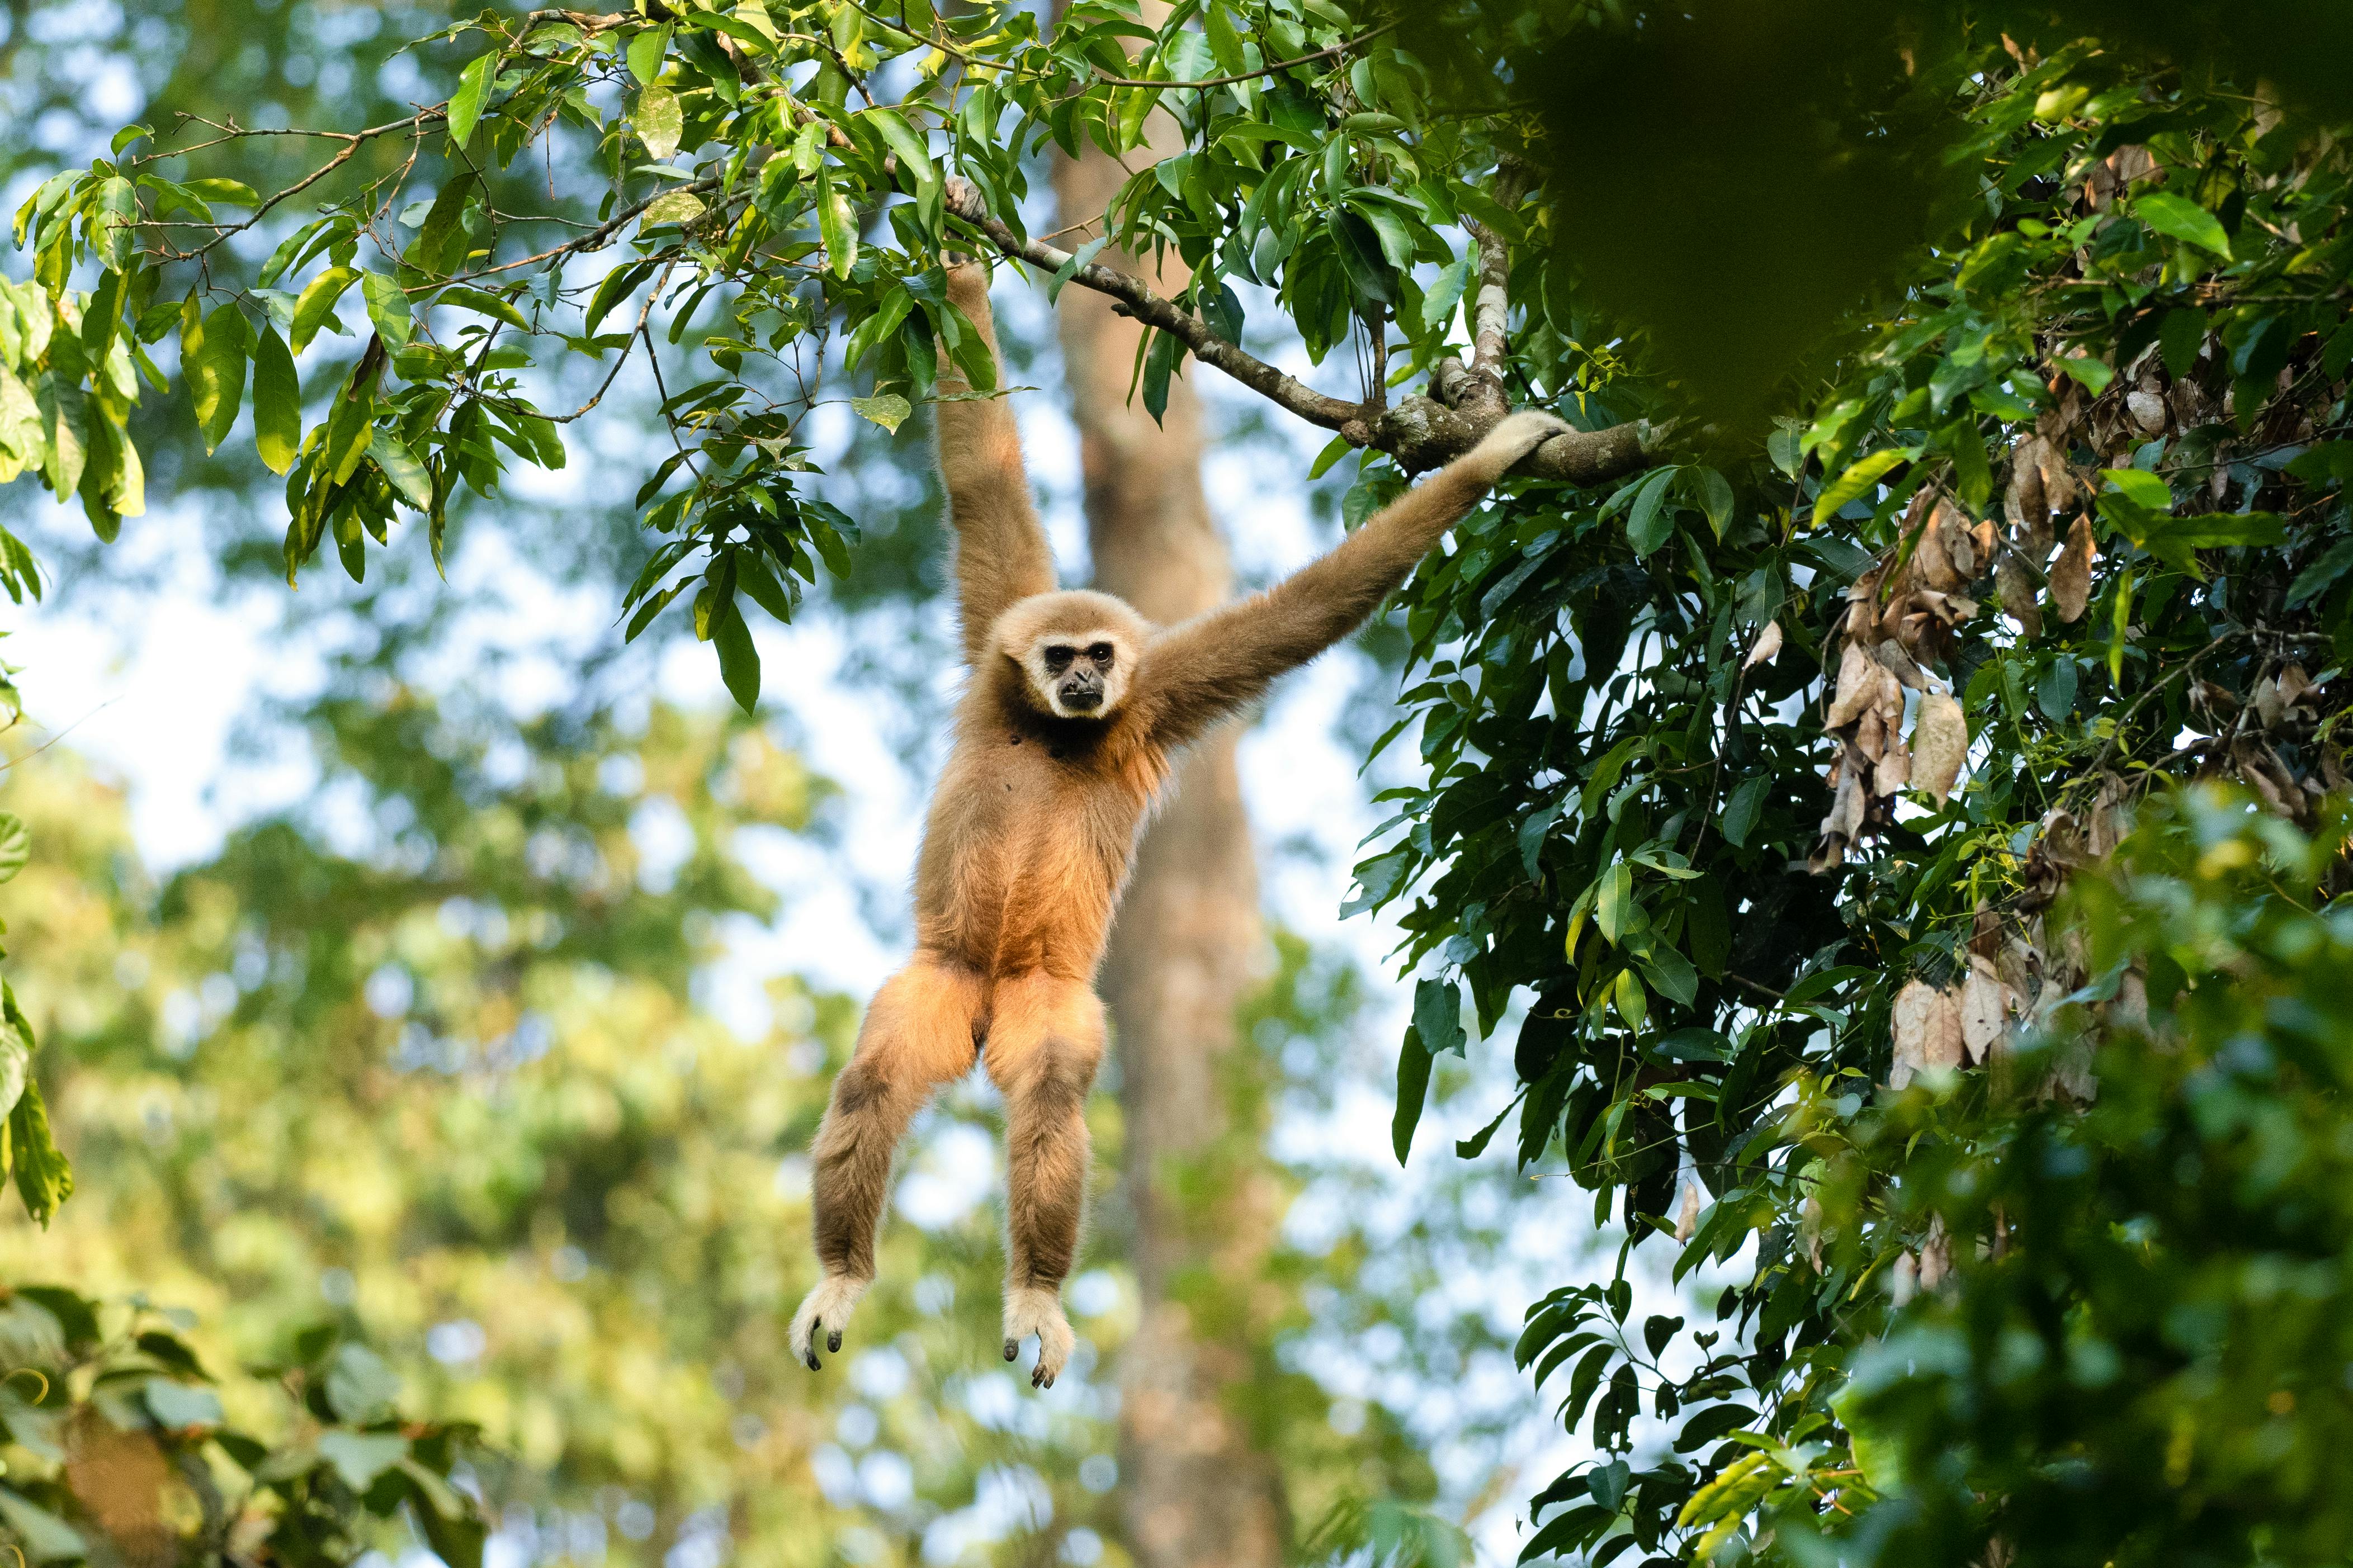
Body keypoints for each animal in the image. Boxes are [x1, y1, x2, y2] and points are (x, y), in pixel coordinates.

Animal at [789, 260, 1568, 1389]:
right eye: (1060, 653)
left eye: (1101, 657)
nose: (1078, 680)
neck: (1053, 725)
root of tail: (986, 998)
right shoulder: (998, 647)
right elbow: (982, 479)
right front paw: (960, 265)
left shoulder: (1154, 696)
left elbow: (1297, 616)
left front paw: (1486, 464)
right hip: (933, 979)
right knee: (876, 1081)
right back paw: (846, 1273)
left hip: (1052, 999)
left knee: (1051, 1098)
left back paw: (1034, 1290)